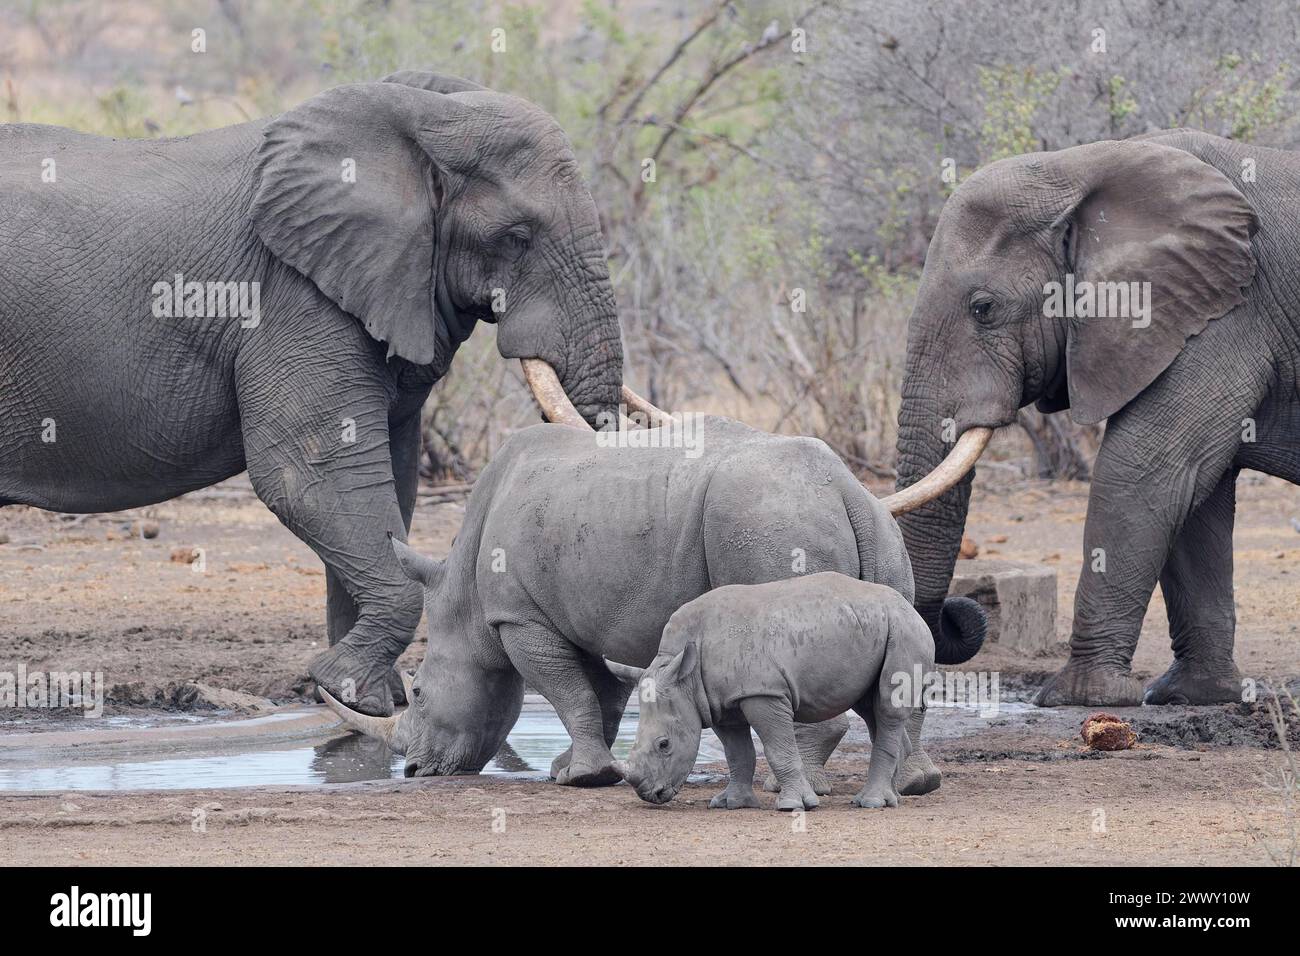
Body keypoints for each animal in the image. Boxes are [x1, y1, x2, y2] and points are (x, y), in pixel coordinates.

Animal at [0, 70, 668, 716]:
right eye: (517, 236)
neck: (421, 115)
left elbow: (390, 481)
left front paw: (366, 699)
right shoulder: (292, 291)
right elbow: (311, 474)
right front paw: (343, 689)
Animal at [608, 573, 934, 812]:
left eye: (664, 745)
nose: (651, 795)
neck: (684, 676)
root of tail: (911, 609)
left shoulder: (764, 693)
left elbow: (778, 749)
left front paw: (793, 806)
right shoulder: (721, 701)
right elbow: (738, 752)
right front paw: (731, 803)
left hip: (904, 630)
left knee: (887, 705)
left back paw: (872, 802)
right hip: (872, 627)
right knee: (871, 708)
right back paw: (891, 798)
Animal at [890, 128, 1300, 706]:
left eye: (983, 308)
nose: (960, 611)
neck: (1076, 169)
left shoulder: (1227, 317)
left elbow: (1145, 474)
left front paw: (1082, 697)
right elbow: (1195, 497)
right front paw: (1190, 695)